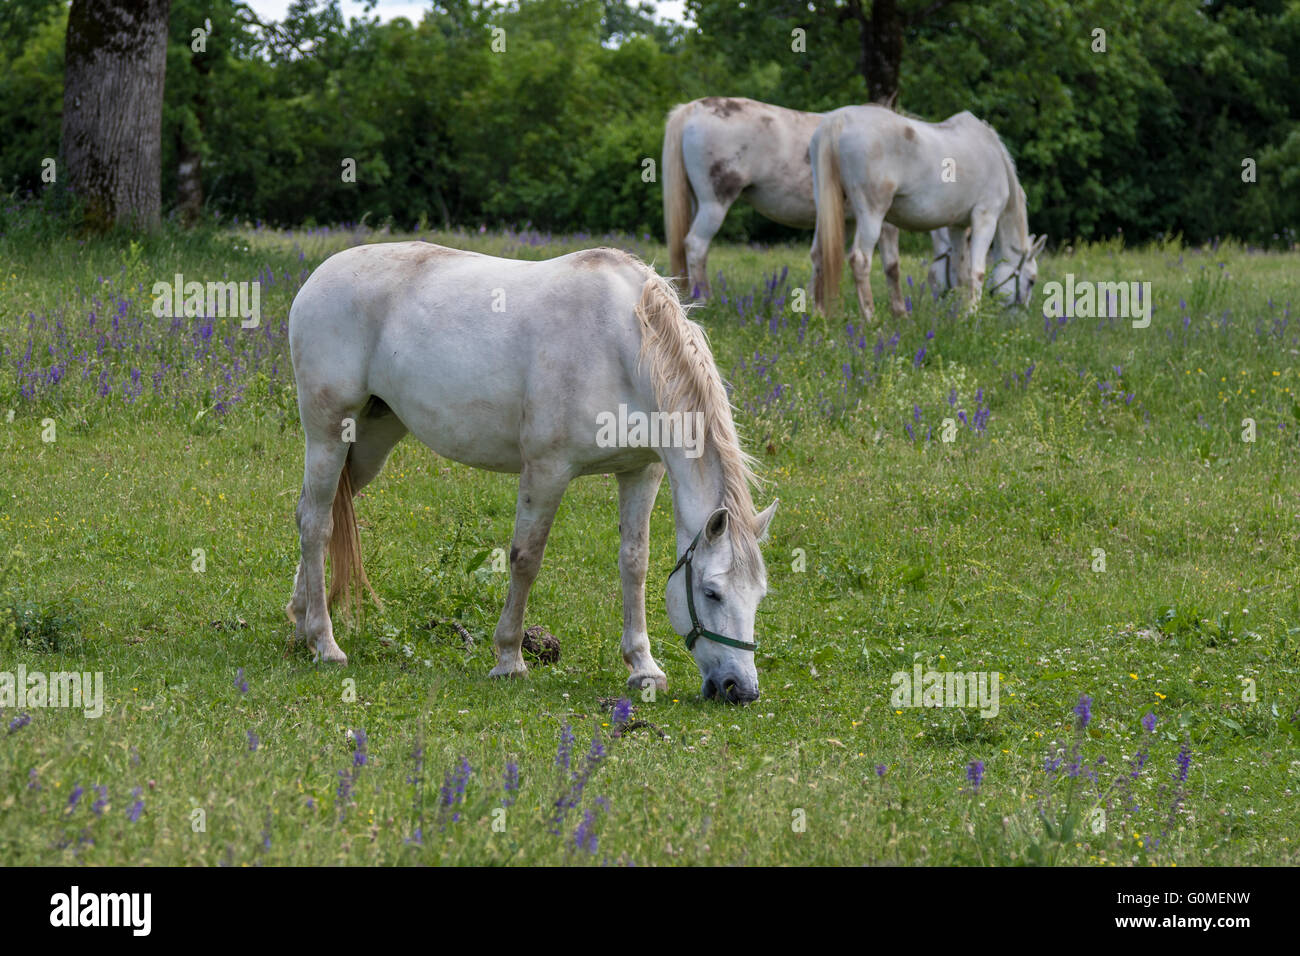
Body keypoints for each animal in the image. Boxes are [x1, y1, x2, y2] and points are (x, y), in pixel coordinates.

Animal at [285, 241, 778, 703]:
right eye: (712, 593)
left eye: (758, 596)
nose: (741, 688)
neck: (622, 346)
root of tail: (319, 277)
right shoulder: (547, 469)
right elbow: (526, 558)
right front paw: (510, 658)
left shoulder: (641, 472)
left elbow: (634, 564)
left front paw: (643, 666)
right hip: (329, 435)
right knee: (316, 524)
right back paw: (325, 643)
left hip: (370, 442)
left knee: (317, 515)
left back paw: (301, 620)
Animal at [662, 96, 961, 309]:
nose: (948, 297)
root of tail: (692, 109)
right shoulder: (883, 222)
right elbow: (891, 266)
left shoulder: (845, 222)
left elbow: (823, 259)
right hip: (715, 204)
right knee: (696, 245)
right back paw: (704, 299)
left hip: (697, 203)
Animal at [810, 104, 1047, 319]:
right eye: (1032, 280)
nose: (1020, 317)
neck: (993, 154)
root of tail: (839, 119)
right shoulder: (985, 218)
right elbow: (976, 273)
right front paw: (971, 316)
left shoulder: (958, 226)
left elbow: (960, 273)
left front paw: (957, 317)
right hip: (871, 214)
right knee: (860, 260)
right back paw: (870, 319)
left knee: (820, 254)